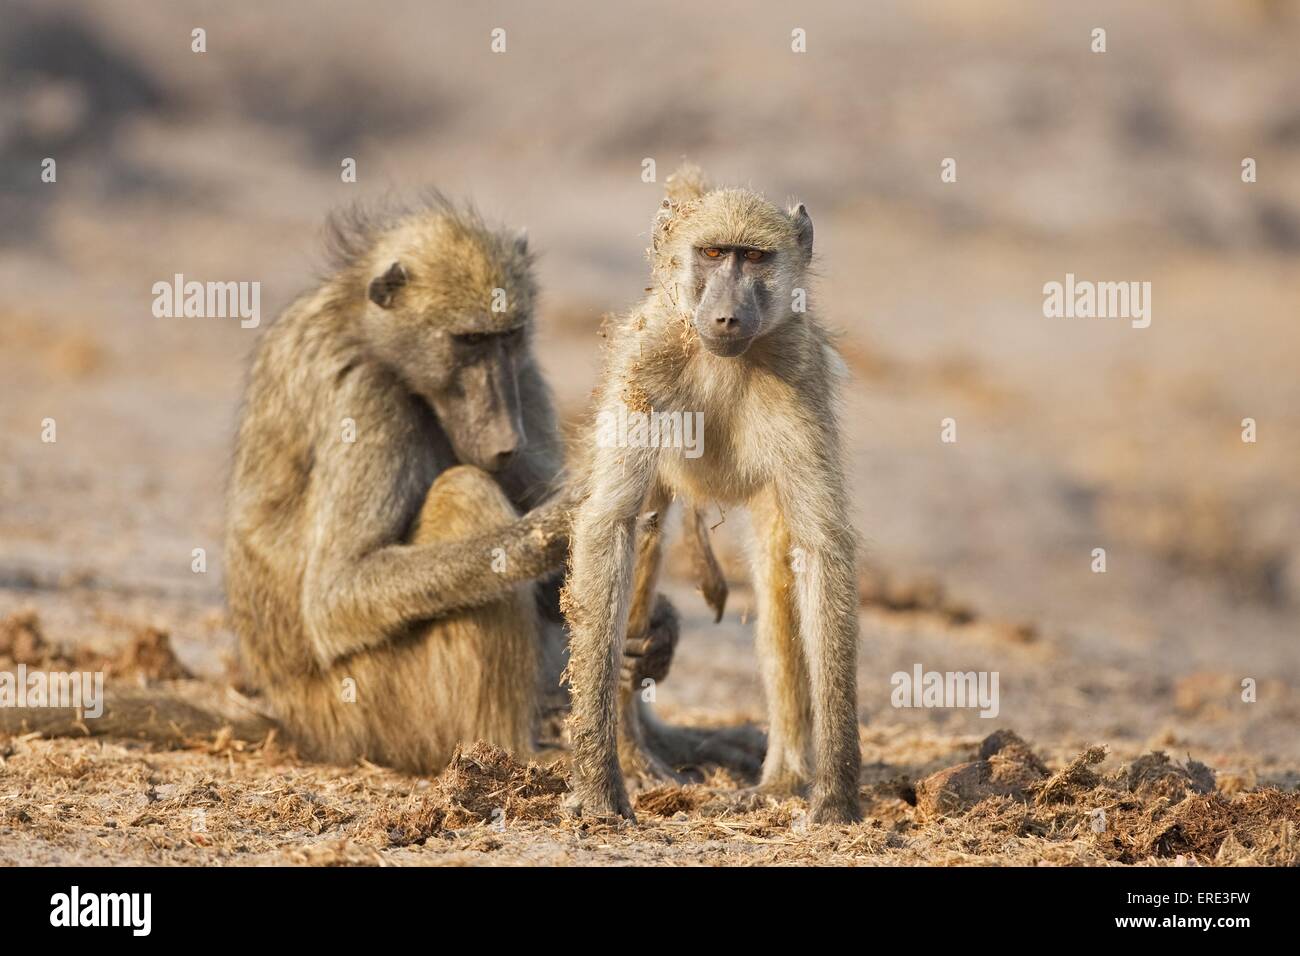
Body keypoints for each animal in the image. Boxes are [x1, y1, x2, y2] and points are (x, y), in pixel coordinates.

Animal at [564, 166, 863, 824]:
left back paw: (782, 778)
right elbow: (611, 524)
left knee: (778, 582)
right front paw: (599, 787)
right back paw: (637, 755)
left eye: (752, 257)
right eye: (712, 254)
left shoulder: (799, 376)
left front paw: (835, 794)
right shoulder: (644, 366)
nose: (725, 317)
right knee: (646, 529)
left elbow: (820, 550)